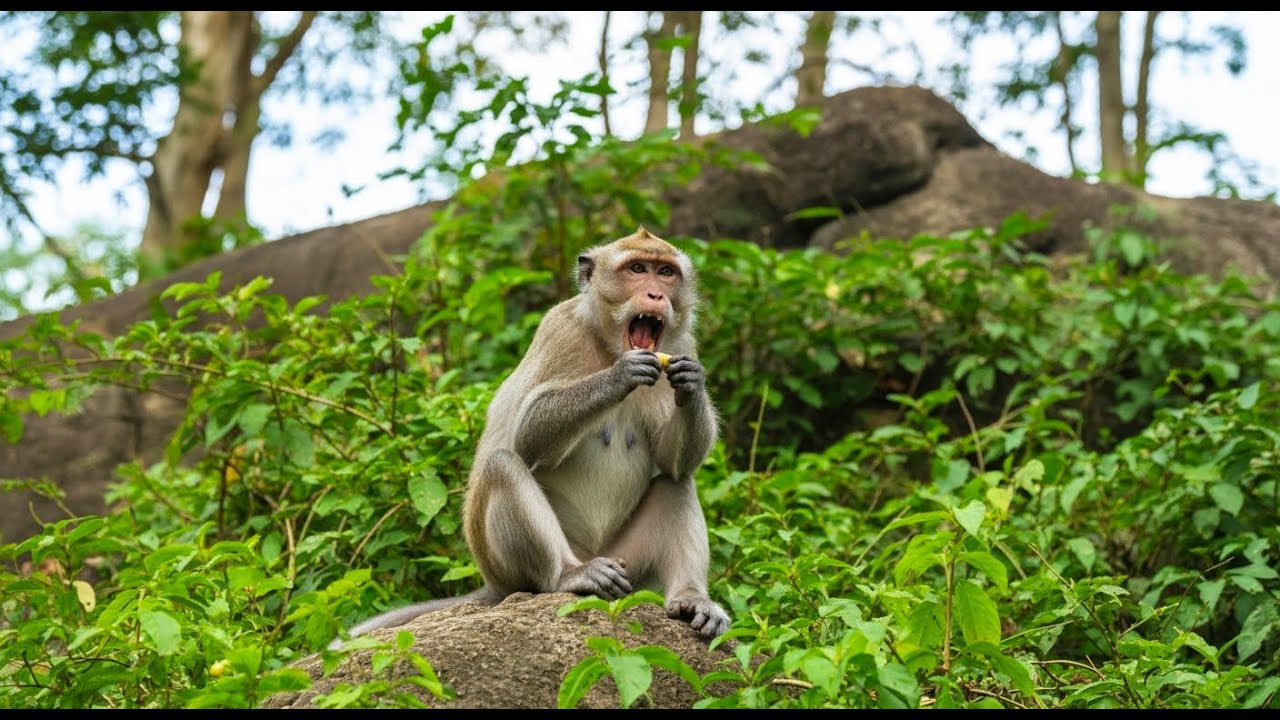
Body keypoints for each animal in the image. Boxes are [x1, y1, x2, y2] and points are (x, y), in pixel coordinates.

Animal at [331, 227, 730, 649]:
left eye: (665, 272)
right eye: (638, 269)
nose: (656, 295)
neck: (608, 344)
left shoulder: (681, 345)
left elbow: (673, 462)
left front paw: (692, 383)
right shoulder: (560, 331)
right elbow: (527, 435)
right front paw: (620, 375)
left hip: (627, 563)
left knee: (676, 483)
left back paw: (690, 599)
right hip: (509, 567)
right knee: (503, 466)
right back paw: (567, 575)